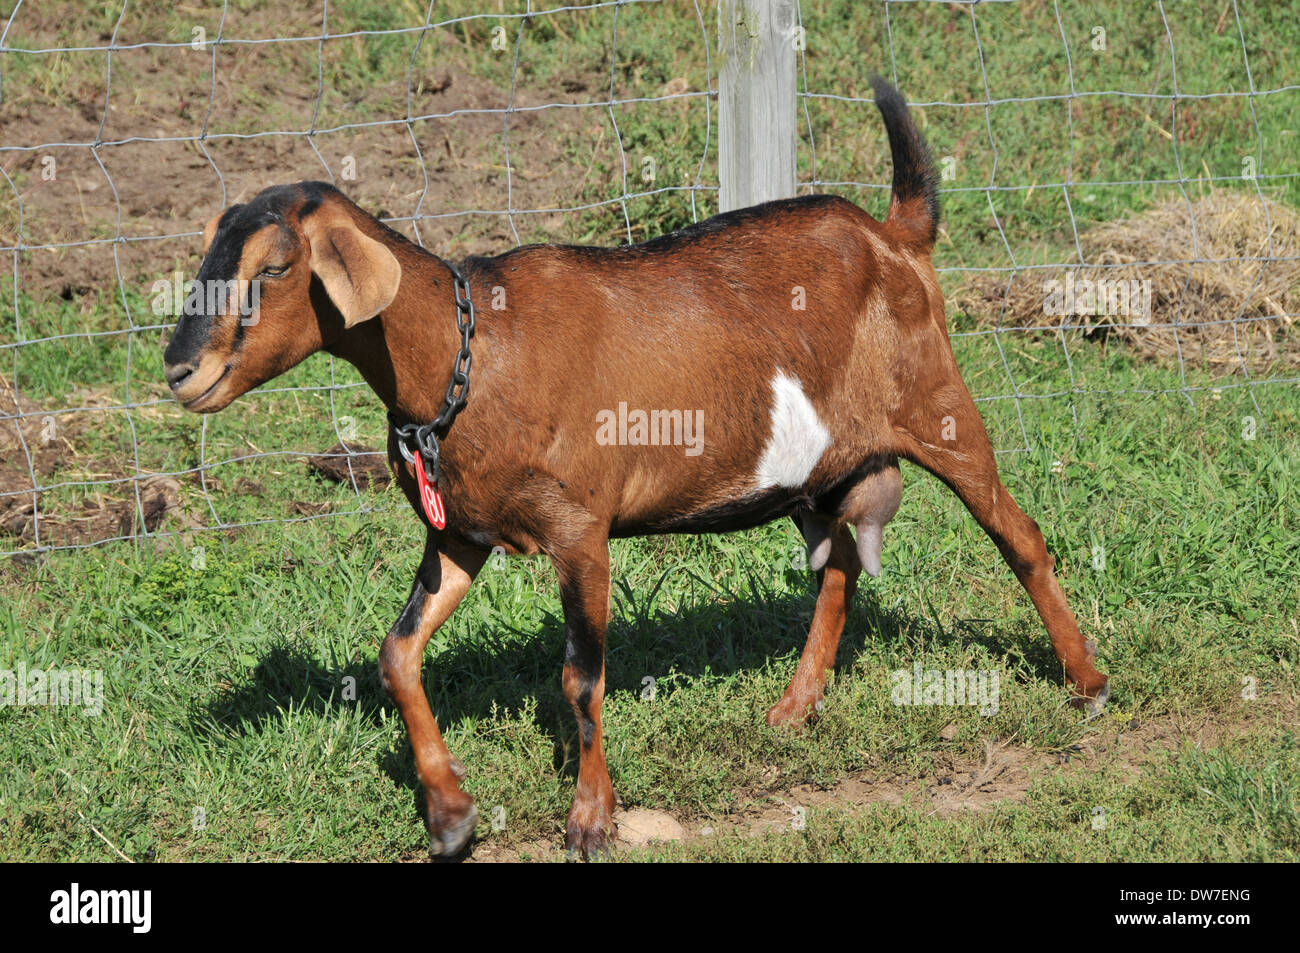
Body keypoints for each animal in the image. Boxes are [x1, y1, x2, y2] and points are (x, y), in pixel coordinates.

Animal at [163, 77, 1108, 860]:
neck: (471, 354)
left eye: (274, 268)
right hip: (818, 469)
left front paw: (590, 819)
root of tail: (892, 233)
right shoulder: (461, 531)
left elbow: (582, 677)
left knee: (1019, 534)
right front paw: (452, 816)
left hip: (939, 406)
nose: (179, 370)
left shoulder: (581, 531)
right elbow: (398, 654)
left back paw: (1088, 681)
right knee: (839, 565)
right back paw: (793, 709)